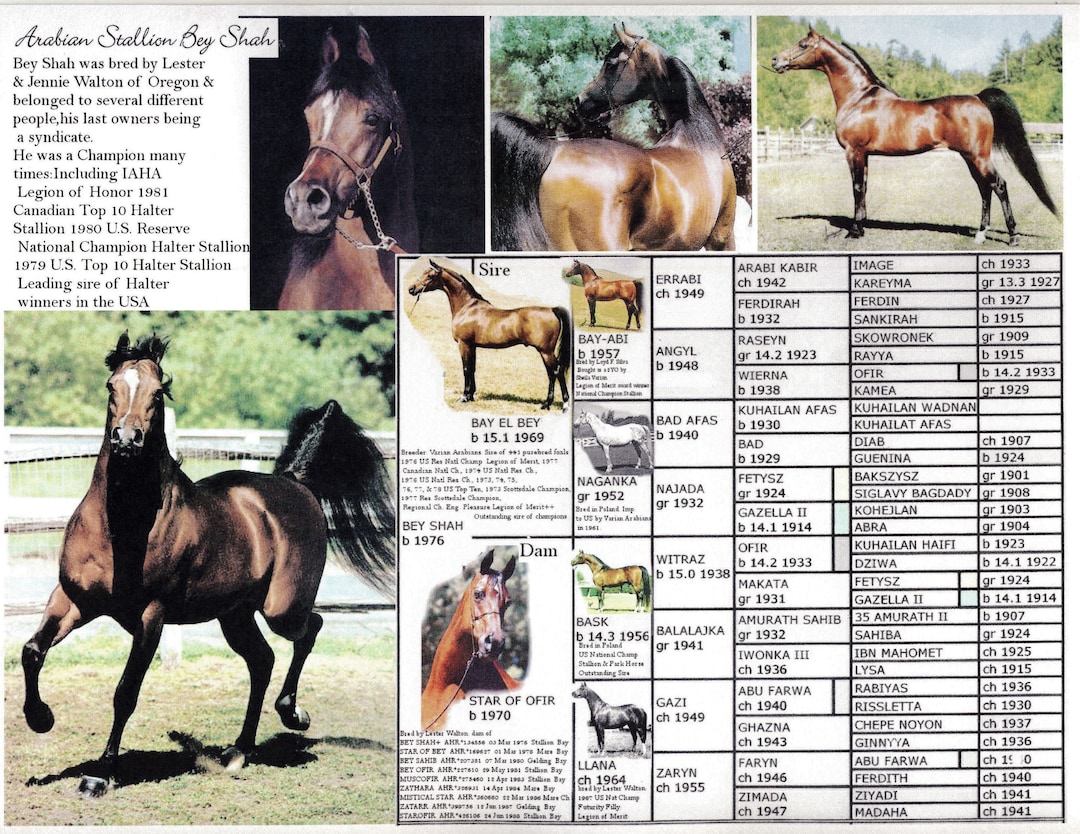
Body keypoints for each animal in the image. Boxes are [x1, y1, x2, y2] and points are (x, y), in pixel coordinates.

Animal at [20, 333, 395, 784]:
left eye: (158, 393)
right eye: (112, 386)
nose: (127, 439)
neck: (121, 526)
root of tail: (294, 482)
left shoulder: (151, 615)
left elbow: (126, 691)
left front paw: (99, 776)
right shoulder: (74, 598)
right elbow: (32, 651)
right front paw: (41, 718)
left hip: (281, 608)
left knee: (310, 629)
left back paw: (294, 715)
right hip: (235, 614)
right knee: (263, 661)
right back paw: (238, 751)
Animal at [407, 260, 571, 410]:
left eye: (429, 275)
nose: (411, 289)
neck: (467, 307)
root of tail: (552, 310)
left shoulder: (464, 344)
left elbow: (466, 369)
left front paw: (464, 397)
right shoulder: (472, 346)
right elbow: (472, 368)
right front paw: (471, 395)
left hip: (546, 351)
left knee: (556, 372)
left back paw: (559, 404)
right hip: (545, 352)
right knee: (552, 373)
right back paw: (549, 403)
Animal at [770, 28, 1058, 246]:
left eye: (803, 44)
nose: (775, 60)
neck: (859, 98)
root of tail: (978, 98)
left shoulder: (854, 152)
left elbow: (857, 188)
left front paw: (853, 232)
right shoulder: (864, 155)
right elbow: (864, 188)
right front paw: (861, 228)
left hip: (978, 157)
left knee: (999, 186)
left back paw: (1013, 237)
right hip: (970, 157)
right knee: (984, 189)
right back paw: (980, 234)